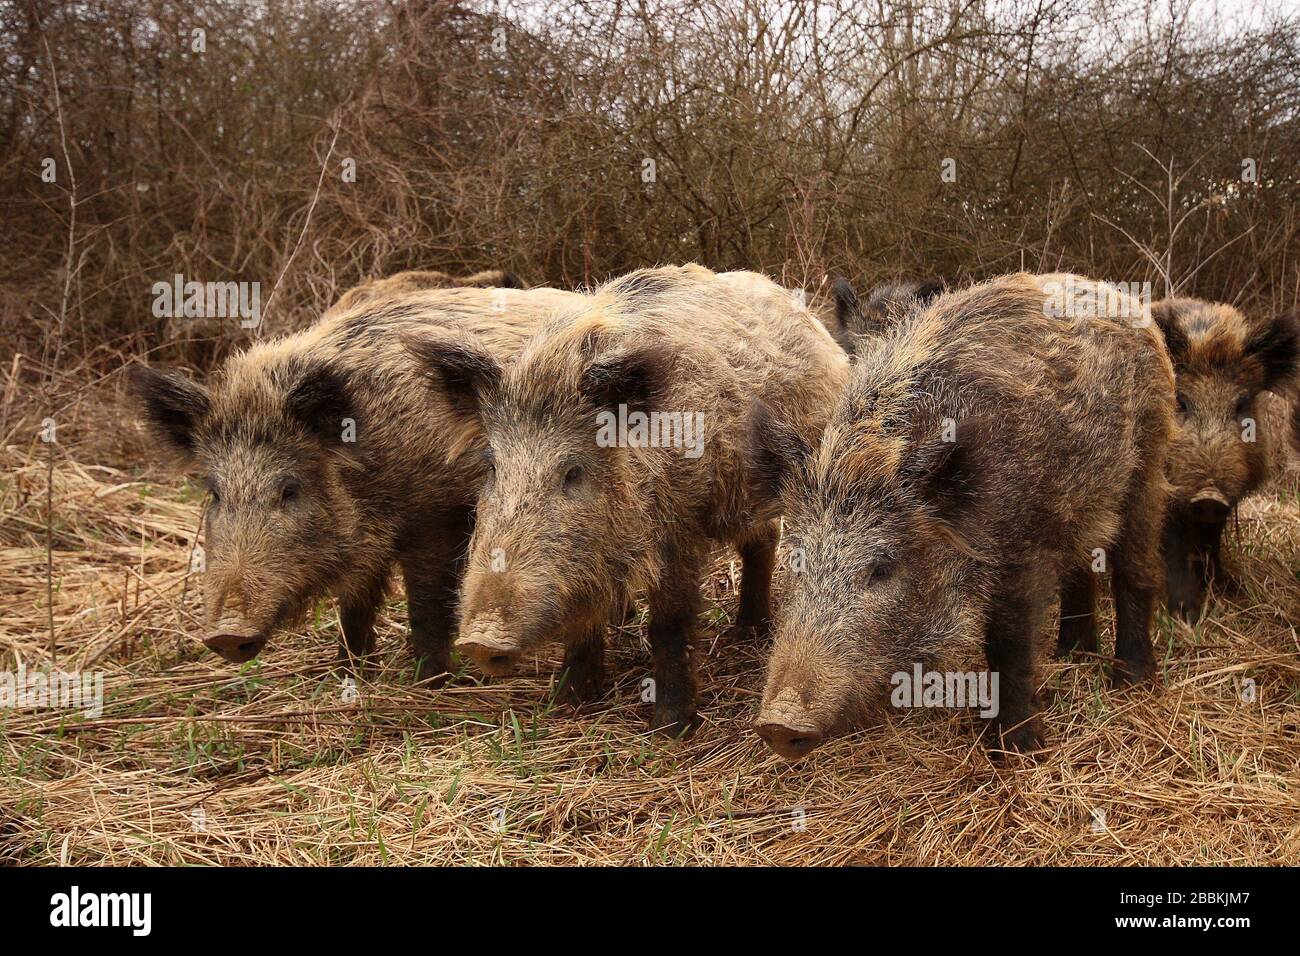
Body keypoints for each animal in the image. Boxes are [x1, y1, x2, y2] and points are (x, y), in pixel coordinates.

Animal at [131, 279, 582, 675]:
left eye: (289, 489)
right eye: (215, 493)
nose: (226, 636)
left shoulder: (438, 516)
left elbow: (426, 605)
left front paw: (430, 680)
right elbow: (355, 603)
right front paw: (351, 671)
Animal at [404, 264, 850, 735]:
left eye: (573, 471)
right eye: (492, 466)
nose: (478, 640)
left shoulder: (681, 525)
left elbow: (669, 625)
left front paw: (671, 730)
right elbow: (582, 619)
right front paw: (570, 702)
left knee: (764, 539)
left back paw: (748, 633)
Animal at [751, 273, 1175, 760]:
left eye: (881, 568)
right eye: (795, 560)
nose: (778, 724)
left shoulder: (1021, 545)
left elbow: (1008, 644)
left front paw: (1017, 750)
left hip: (1148, 460)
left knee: (1135, 567)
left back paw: (1131, 681)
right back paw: (1072, 654)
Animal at [1149, 298, 1299, 619]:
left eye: (1242, 404)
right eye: (1181, 401)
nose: (1209, 495)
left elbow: (1211, 540)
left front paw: (1225, 589)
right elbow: (1174, 542)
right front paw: (1185, 615)